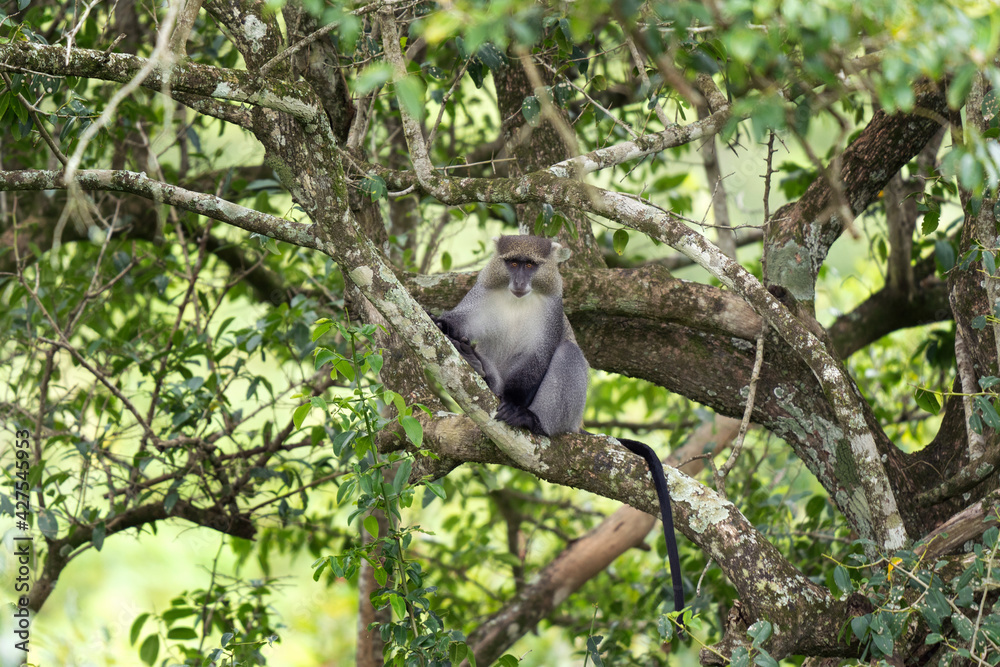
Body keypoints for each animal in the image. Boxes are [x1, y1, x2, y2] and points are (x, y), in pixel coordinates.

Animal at [434, 235, 685, 619]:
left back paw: (534, 420)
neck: (516, 302)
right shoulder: (480, 297)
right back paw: (476, 365)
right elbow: (458, 323)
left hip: (566, 411)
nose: (519, 282)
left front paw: (516, 408)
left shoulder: (551, 317)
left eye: (531, 265)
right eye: (512, 263)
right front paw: (443, 326)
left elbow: (540, 359)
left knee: (568, 354)